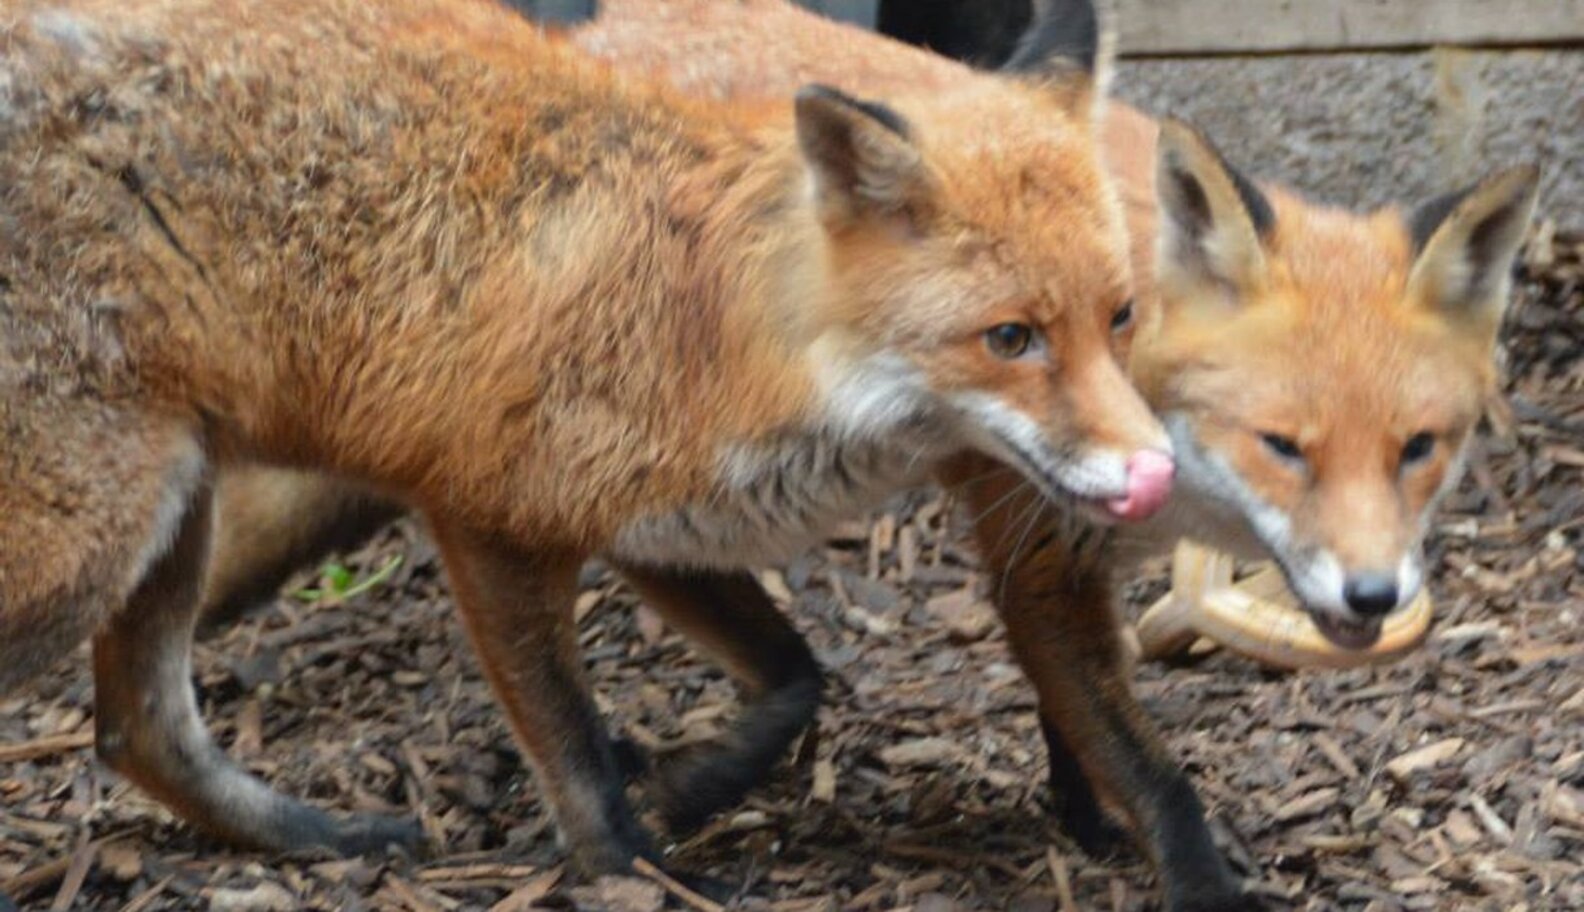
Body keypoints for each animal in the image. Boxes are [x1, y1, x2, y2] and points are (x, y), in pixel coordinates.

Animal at [0, 0, 1172, 889]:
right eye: (1011, 338)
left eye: (1118, 318)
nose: (1156, 470)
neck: (725, 329)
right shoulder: (488, 517)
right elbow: (570, 747)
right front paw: (630, 865)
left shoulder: (653, 523)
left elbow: (798, 679)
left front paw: (697, 786)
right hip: (91, 538)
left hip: (171, 507)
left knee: (137, 730)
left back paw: (324, 838)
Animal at [194, 1, 1539, 909]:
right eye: (1284, 448)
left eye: (1422, 450)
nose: (1373, 595)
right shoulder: (1036, 552)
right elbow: (1147, 761)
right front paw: (1189, 873)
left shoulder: (1070, 563)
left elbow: (1078, 720)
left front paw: (1085, 822)